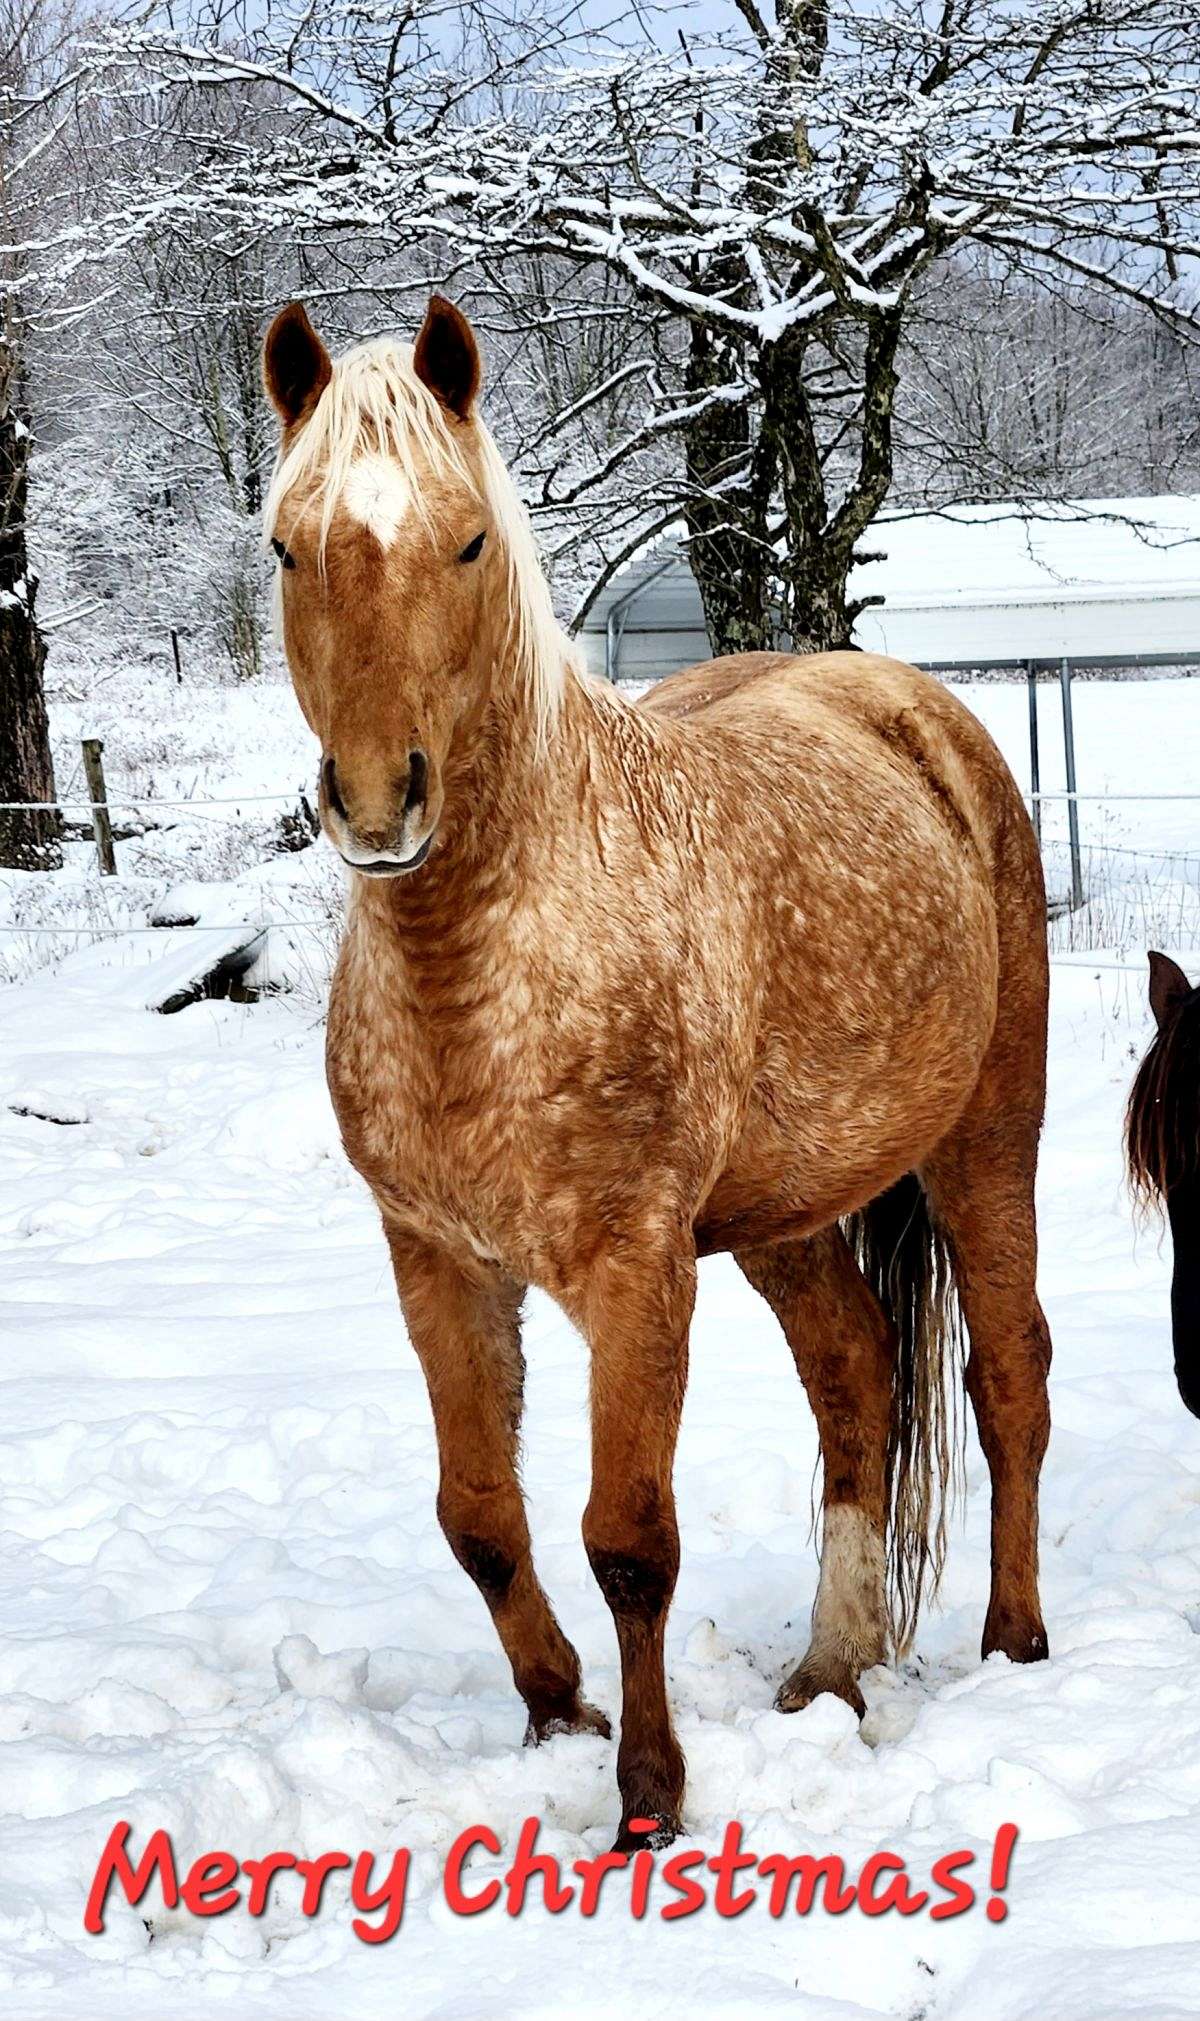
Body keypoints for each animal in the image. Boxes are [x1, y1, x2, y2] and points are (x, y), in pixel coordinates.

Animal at [262, 293, 1054, 1851]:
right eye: (286, 545)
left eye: (469, 542)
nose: (380, 801)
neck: (486, 965)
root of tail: (914, 710)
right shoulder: (434, 1256)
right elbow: (480, 1514)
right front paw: (553, 1710)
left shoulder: (635, 1269)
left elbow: (629, 1539)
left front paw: (647, 1794)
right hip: (789, 1217)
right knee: (856, 1380)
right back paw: (831, 1666)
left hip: (988, 1140)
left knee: (1009, 1377)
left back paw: (1015, 1644)